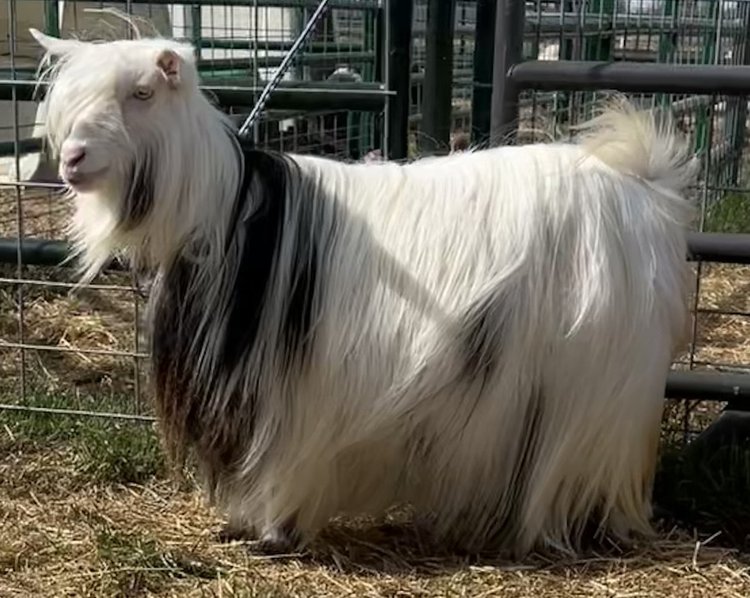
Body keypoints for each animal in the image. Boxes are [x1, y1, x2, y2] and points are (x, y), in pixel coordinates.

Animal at [30, 28, 697, 558]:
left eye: (141, 94)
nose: (73, 159)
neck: (229, 214)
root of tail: (639, 184)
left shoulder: (290, 394)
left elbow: (282, 466)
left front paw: (274, 533)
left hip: (595, 387)